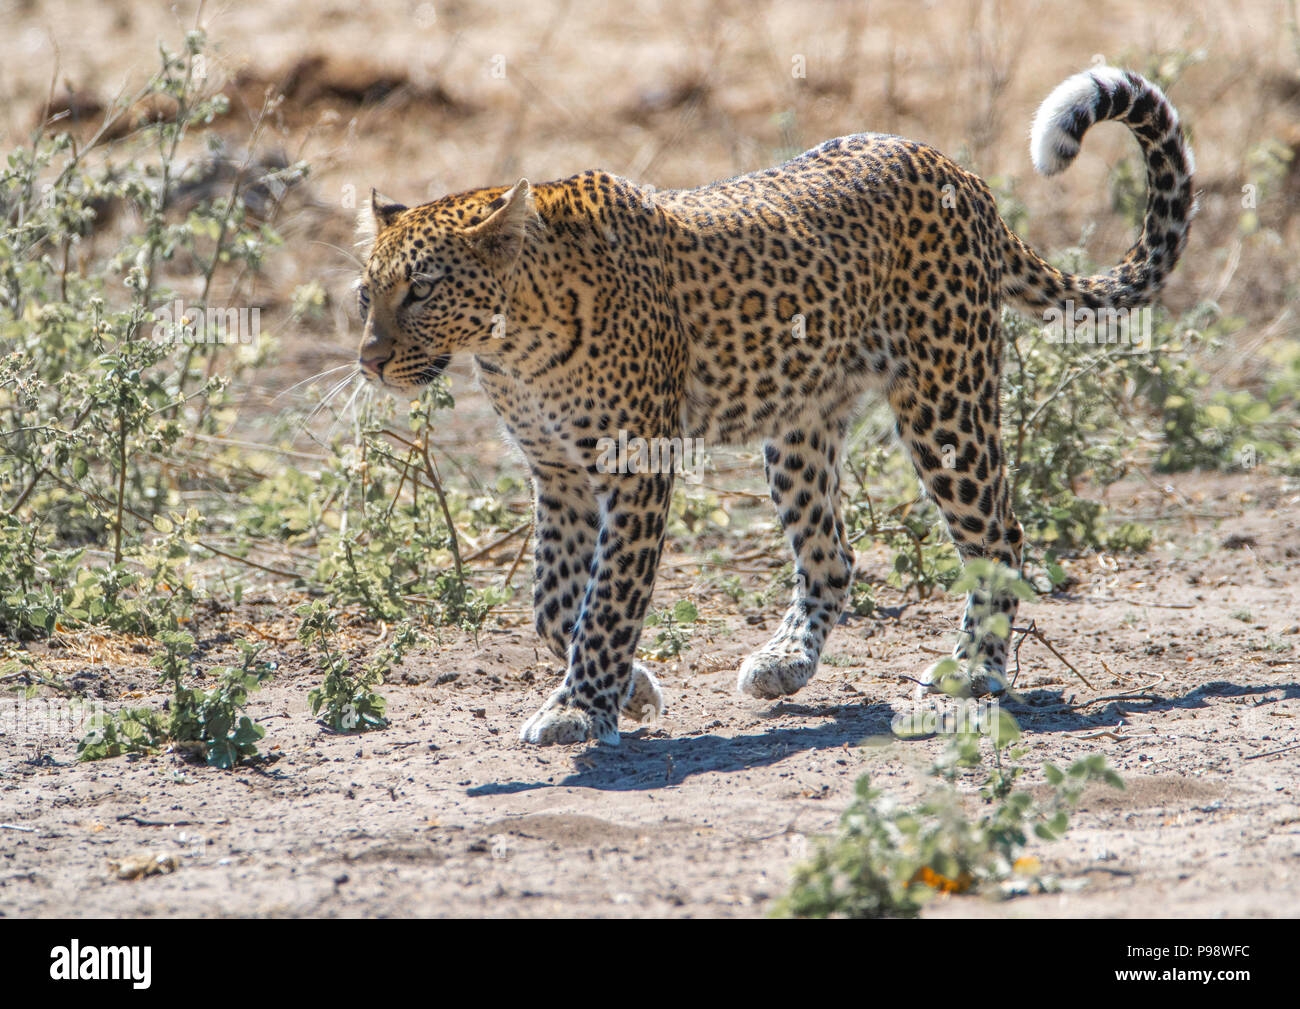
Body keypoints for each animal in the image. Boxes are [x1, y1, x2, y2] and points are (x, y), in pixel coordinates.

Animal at [353, 66, 1195, 746]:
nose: (369, 359)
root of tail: (958, 170)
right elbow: (554, 604)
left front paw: (583, 706)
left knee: (999, 536)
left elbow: (609, 597)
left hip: (944, 402)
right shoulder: (557, 474)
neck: (512, 342)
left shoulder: (636, 468)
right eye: (367, 293)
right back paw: (783, 661)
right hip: (799, 428)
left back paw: (971, 671)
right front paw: (632, 688)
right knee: (832, 554)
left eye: (421, 290)